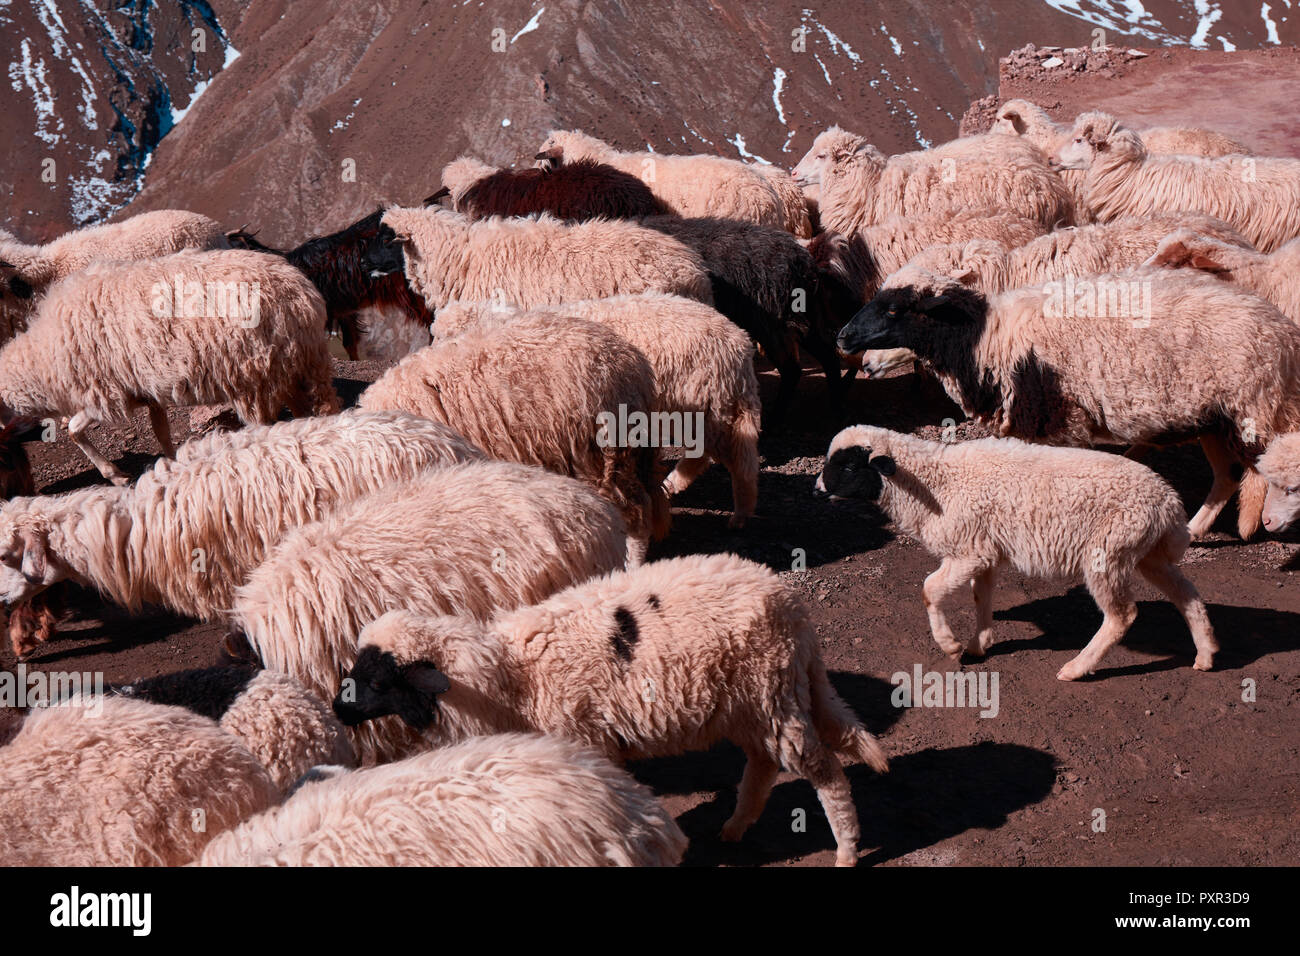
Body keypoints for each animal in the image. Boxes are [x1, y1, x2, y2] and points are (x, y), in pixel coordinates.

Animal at [0, 249, 339, 484]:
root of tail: (299, 294)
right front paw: (173, 464)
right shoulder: (145, 391)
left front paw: (115, 475)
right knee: (312, 411)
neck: (43, 358)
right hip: (297, 366)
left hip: (253, 376)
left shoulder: (105, 394)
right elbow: (161, 432)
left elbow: (73, 430)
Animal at [334, 552, 888, 867]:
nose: (338, 711)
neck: (507, 677)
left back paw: (846, 851)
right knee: (763, 763)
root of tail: (790, 601)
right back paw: (733, 828)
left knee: (827, 773)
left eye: (378, 680)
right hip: (752, 702)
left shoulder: (582, 739)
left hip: (773, 692)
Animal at [434, 294, 761, 527]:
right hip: (703, 410)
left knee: (737, 459)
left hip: (705, 406)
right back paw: (674, 483)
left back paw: (740, 514)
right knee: (703, 454)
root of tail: (740, 343)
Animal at [816, 426, 1217, 680]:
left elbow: (929, 590)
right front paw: (979, 645)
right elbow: (981, 596)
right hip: (1146, 552)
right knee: (1188, 595)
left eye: (849, 465)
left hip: (1108, 554)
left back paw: (1076, 669)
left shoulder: (967, 551)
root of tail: (1168, 501)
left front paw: (950, 645)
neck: (935, 483)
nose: (817, 489)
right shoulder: (984, 551)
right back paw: (1206, 655)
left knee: (1122, 615)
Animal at [836, 264, 1300, 540]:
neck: (984, 338)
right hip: (1214, 417)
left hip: (1253, 410)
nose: (843, 338)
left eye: (894, 309)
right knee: (1227, 477)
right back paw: (1194, 529)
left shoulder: (1063, 420)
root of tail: (1283, 331)